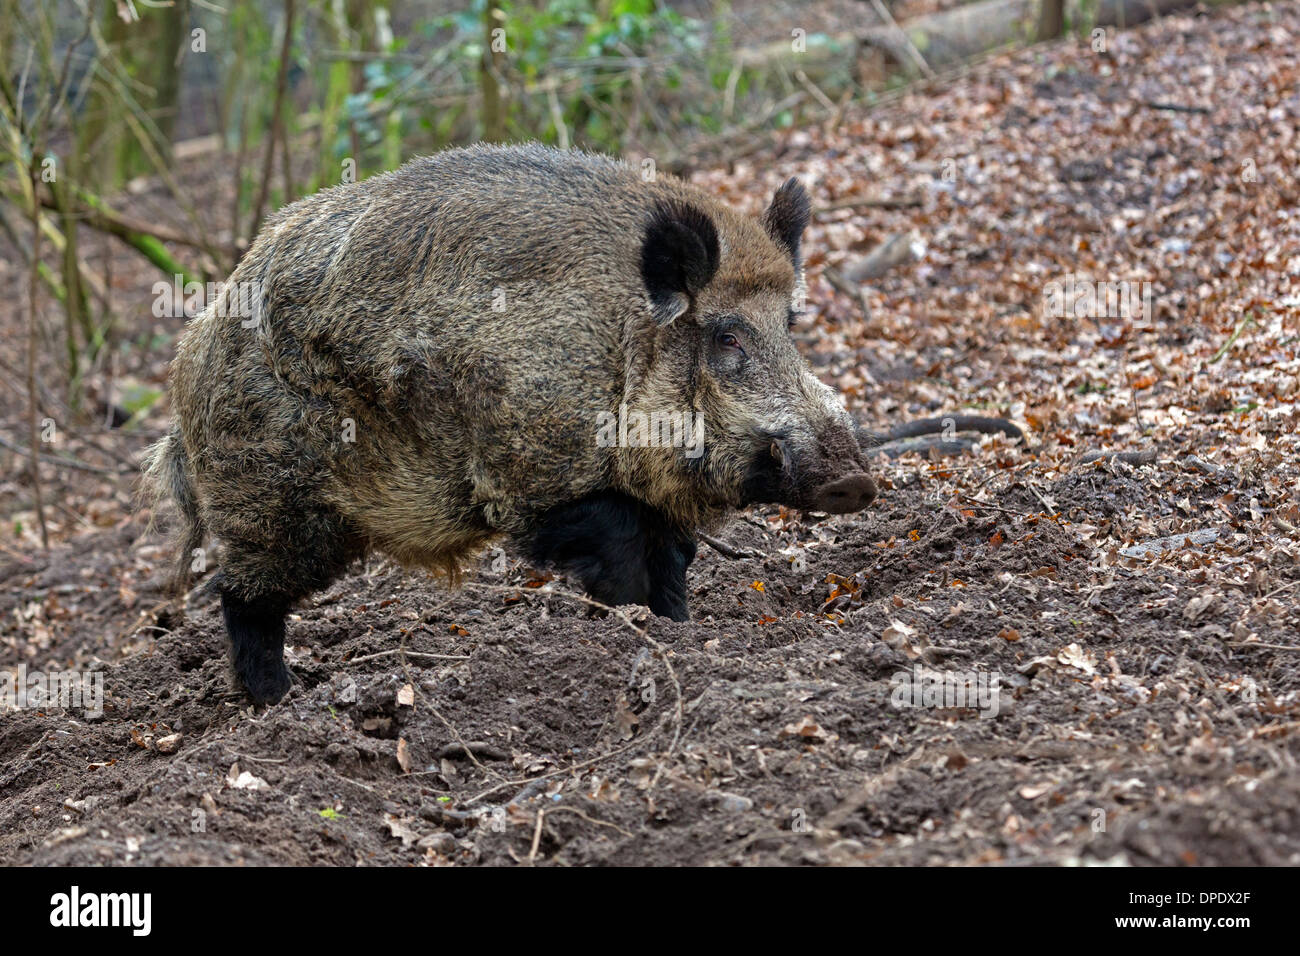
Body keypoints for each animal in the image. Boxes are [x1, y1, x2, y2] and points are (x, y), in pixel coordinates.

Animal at [146, 144, 875, 704]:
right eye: (727, 338)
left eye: (790, 326)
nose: (855, 481)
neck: (616, 348)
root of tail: (189, 360)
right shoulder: (535, 474)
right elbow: (619, 555)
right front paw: (633, 627)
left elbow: (674, 561)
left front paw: (677, 632)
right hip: (270, 495)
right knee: (240, 594)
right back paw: (279, 700)